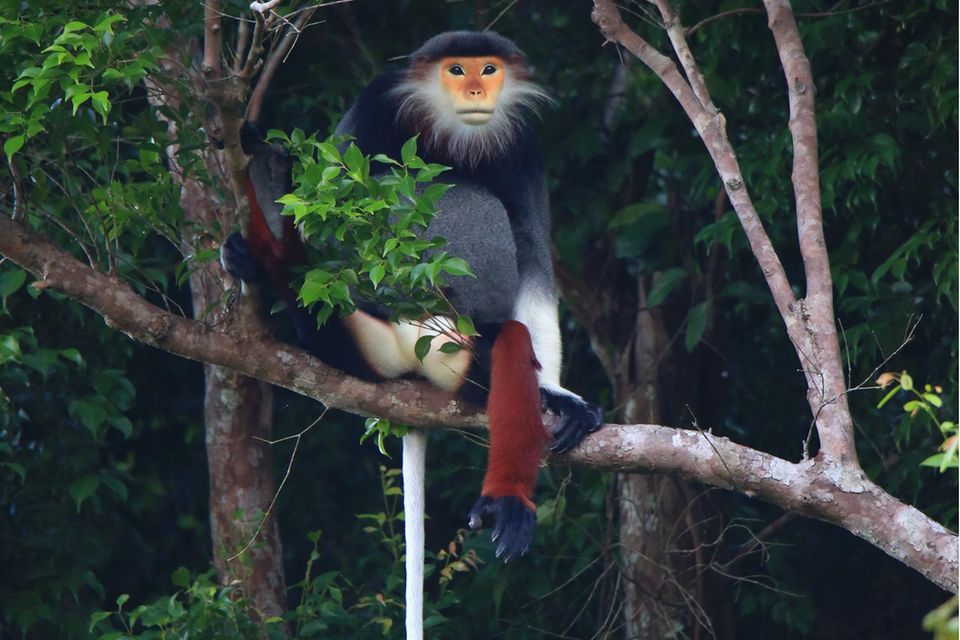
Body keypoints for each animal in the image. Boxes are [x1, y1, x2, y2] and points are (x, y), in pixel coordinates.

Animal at [221, 31, 603, 640]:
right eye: (456, 70)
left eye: (488, 70)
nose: (475, 91)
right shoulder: (374, 106)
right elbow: (333, 193)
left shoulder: (522, 150)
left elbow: (533, 256)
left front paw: (560, 395)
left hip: (453, 357)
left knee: (510, 340)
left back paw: (507, 498)